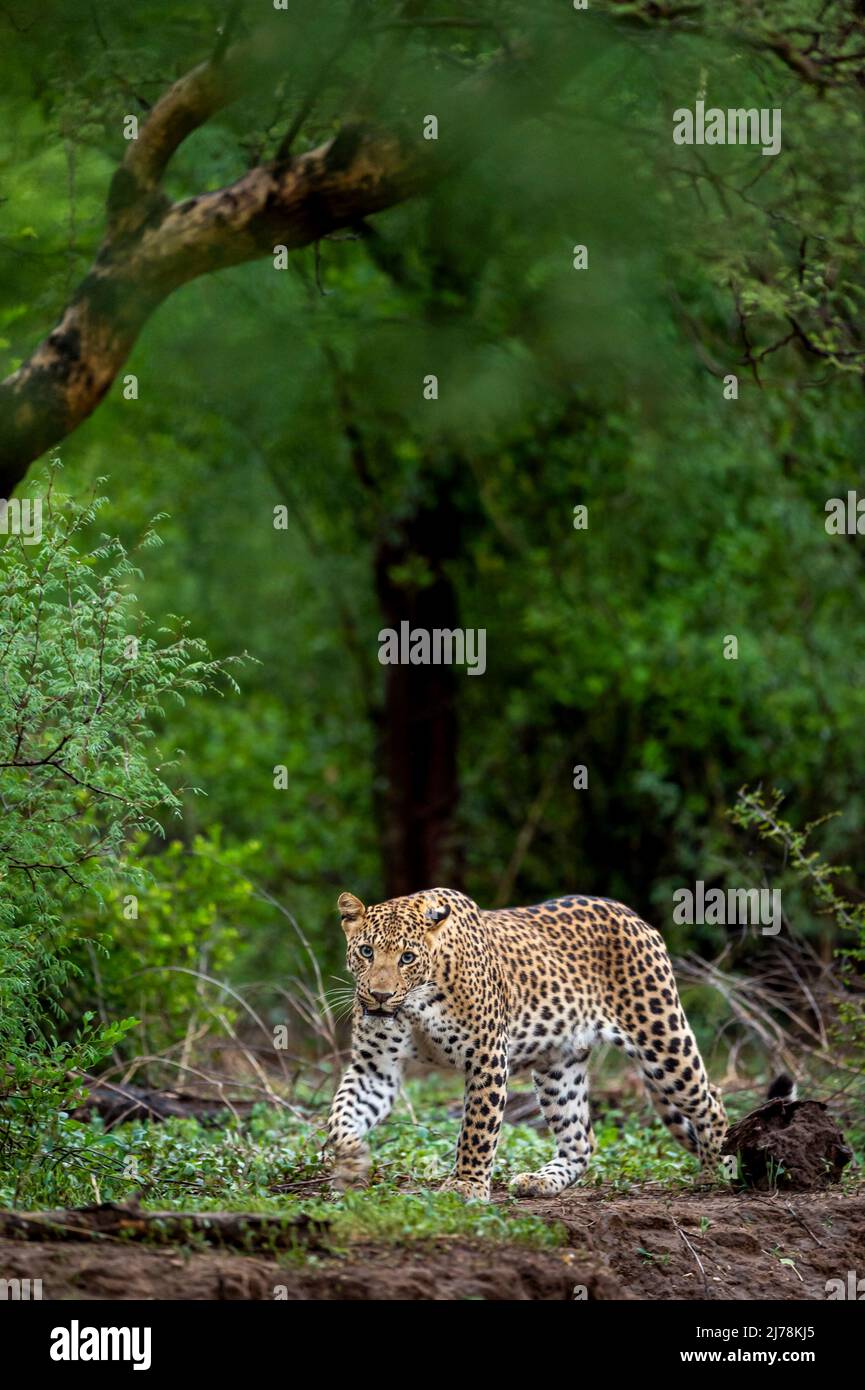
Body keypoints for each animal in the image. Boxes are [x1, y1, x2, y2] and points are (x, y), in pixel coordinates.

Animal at [327, 886, 727, 1201]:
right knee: (581, 1138)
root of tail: (633, 916)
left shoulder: (486, 1057)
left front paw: (467, 1185)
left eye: (407, 958)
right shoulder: (375, 1068)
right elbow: (340, 1118)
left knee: (710, 1098)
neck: (415, 1004)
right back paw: (541, 1180)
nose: (380, 996)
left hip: (662, 1038)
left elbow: (477, 1128)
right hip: (559, 1067)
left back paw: (716, 1171)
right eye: (366, 951)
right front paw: (351, 1163)